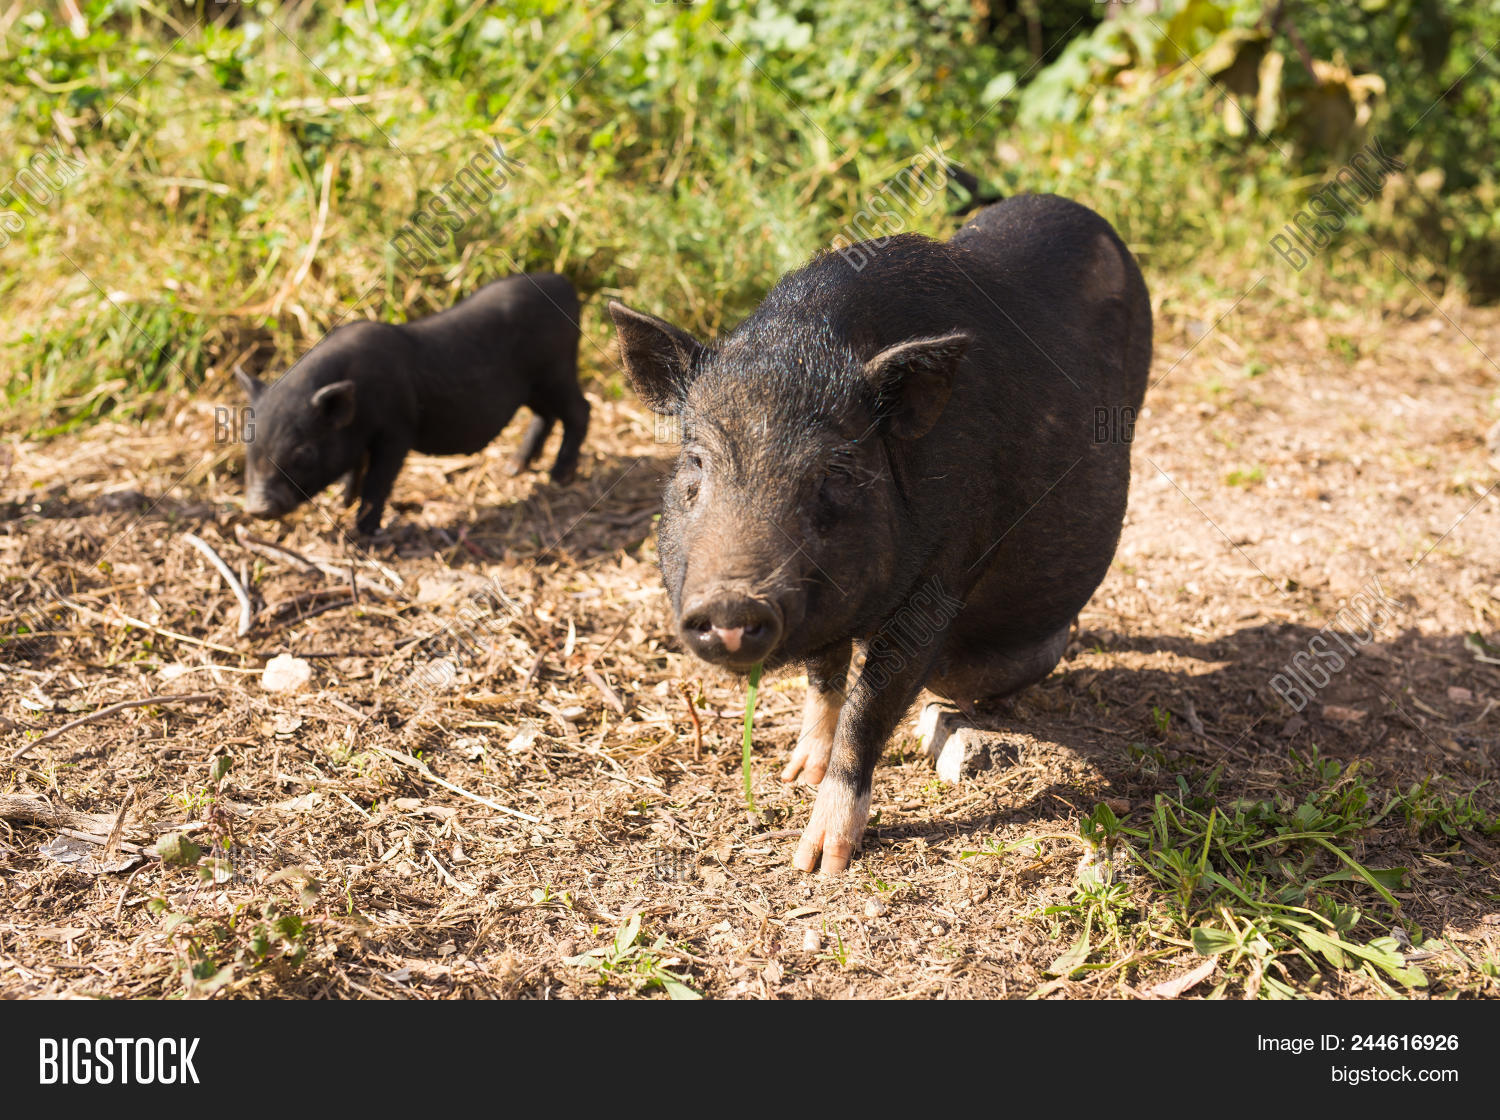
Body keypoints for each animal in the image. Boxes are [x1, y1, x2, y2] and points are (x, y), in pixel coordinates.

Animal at [237, 272, 589, 535]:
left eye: (303, 452)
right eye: (250, 446)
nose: (256, 507)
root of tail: (565, 285)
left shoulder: (397, 429)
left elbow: (379, 480)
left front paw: (363, 533)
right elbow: (354, 467)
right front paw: (342, 502)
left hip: (557, 371)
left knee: (581, 410)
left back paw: (558, 476)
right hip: (535, 388)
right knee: (547, 416)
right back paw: (514, 468)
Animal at [610, 194, 1151, 874]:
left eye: (835, 472)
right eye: (697, 463)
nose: (732, 605)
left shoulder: (946, 572)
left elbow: (871, 703)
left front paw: (819, 863)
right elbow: (825, 671)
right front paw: (795, 775)